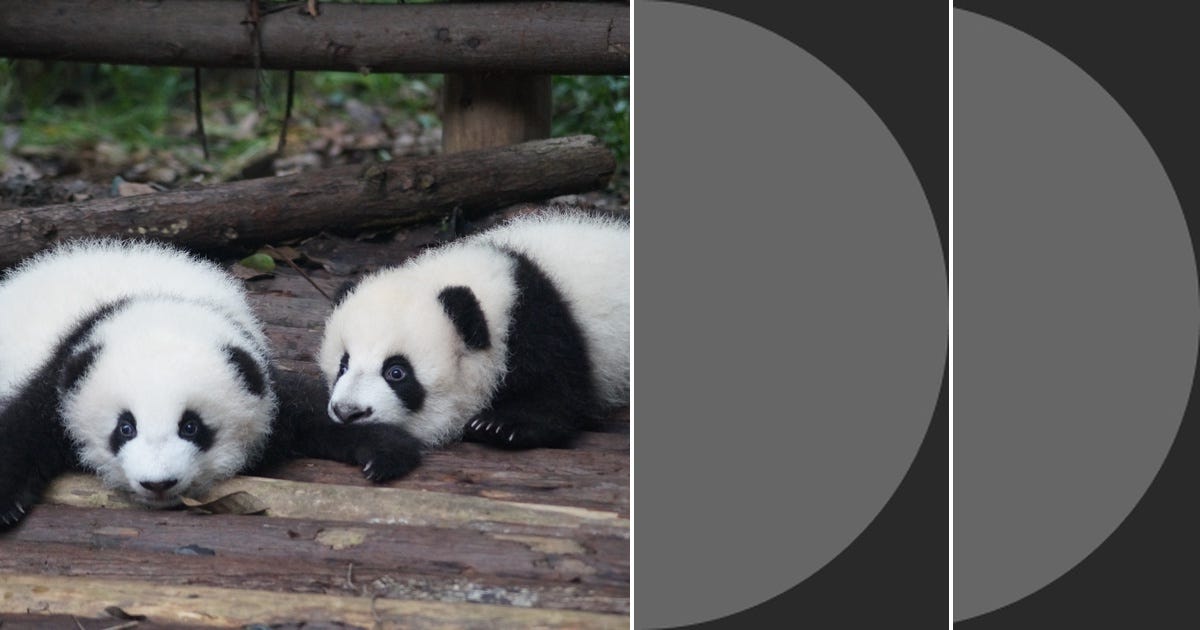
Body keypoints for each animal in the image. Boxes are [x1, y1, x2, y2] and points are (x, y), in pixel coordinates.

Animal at [0, 239, 422, 530]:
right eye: (125, 428)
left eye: (191, 426)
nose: (158, 483)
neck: (157, 305)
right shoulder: (61, 374)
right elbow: (23, 430)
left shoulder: (257, 374)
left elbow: (310, 409)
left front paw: (385, 450)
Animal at [319, 209, 630, 449]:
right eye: (343, 366)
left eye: (396, 372)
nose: (348, 412)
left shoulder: (539, 322)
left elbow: (558, 392)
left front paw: (500, 426)